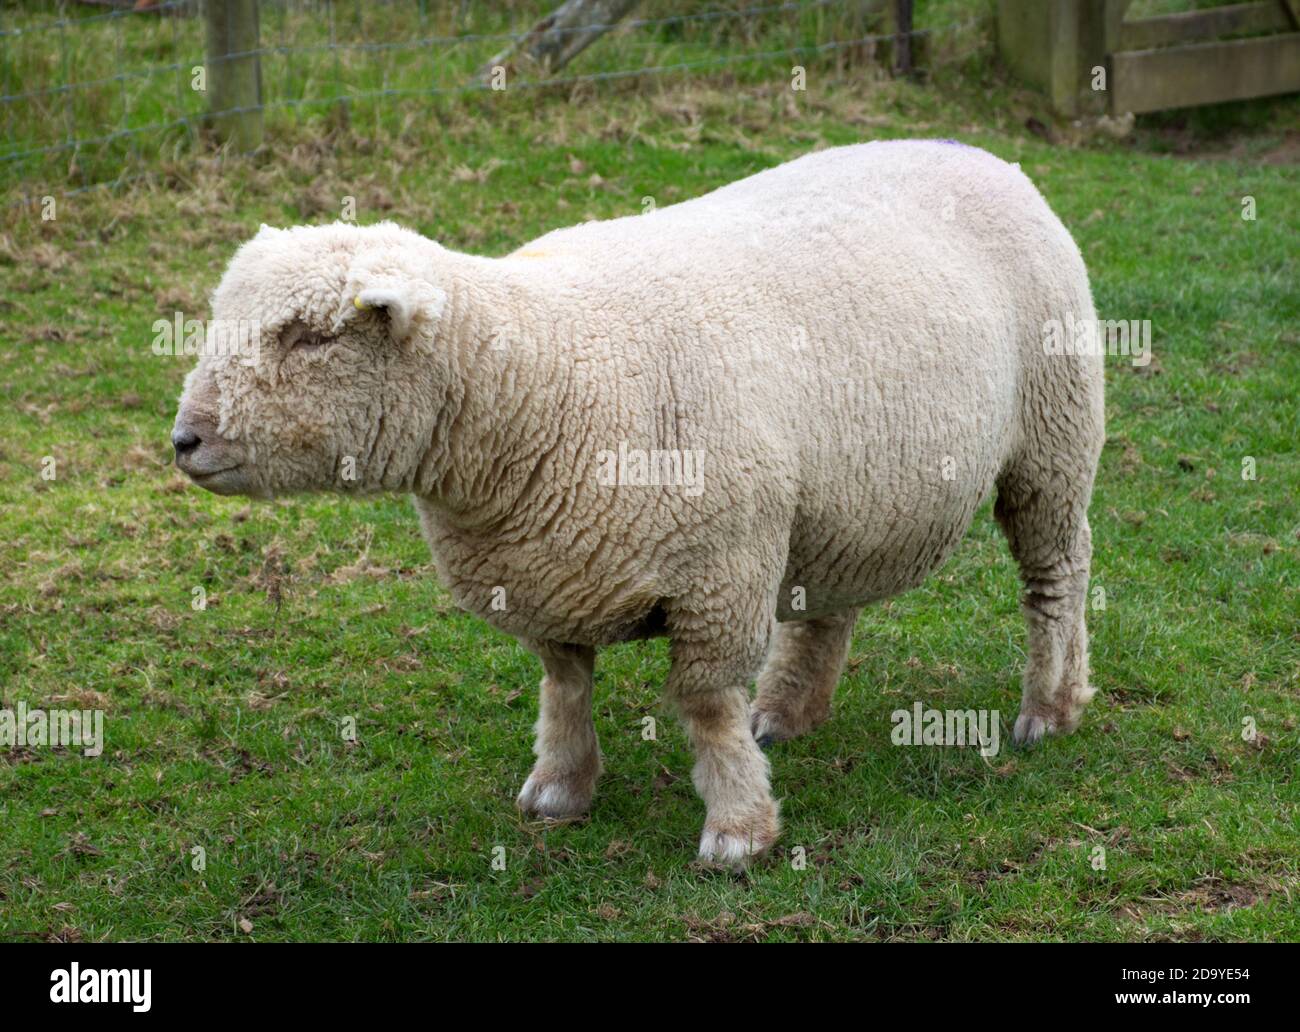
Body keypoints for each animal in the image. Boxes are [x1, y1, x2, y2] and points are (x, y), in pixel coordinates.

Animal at [172, 140, 1105, 869]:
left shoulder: (721, 571)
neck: (538, 378)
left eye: (309, 336)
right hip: (839, 494)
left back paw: (1049, 708)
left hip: (1052, 440)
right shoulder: (548, 571)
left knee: (1057, 574)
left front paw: (738, 830)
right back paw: (791, 710)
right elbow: (564, 684)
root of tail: (979, 153)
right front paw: (559, 788)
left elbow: (705, 707)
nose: (184, 439)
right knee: (827, 604)